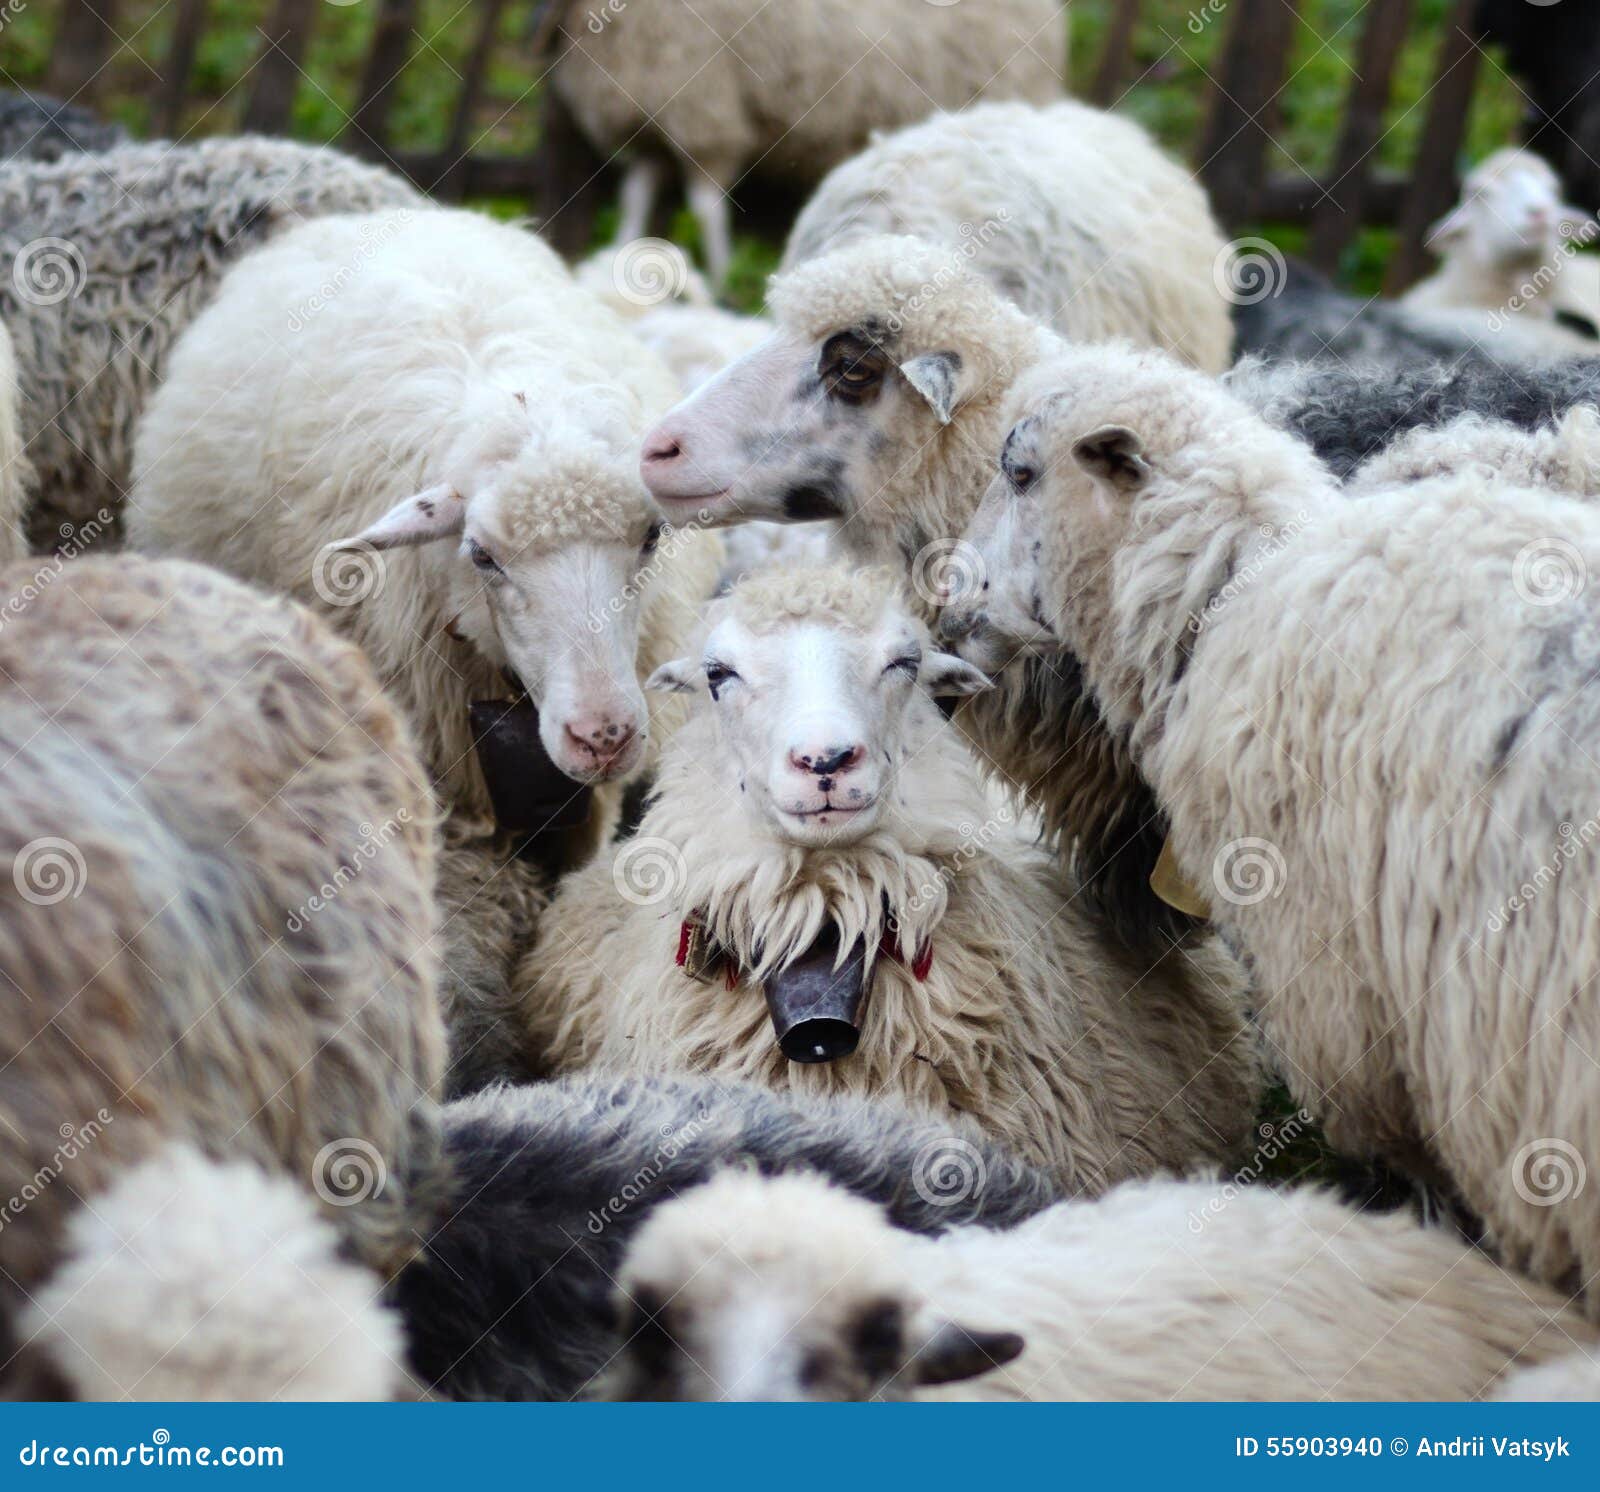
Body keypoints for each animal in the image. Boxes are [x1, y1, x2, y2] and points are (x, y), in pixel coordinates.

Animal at [550, 0, 1067, 284]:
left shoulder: (705, 116)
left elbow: (705, 207)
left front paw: (720, 279)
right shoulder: (649, 127)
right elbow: (636, 200)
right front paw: (617, 256)